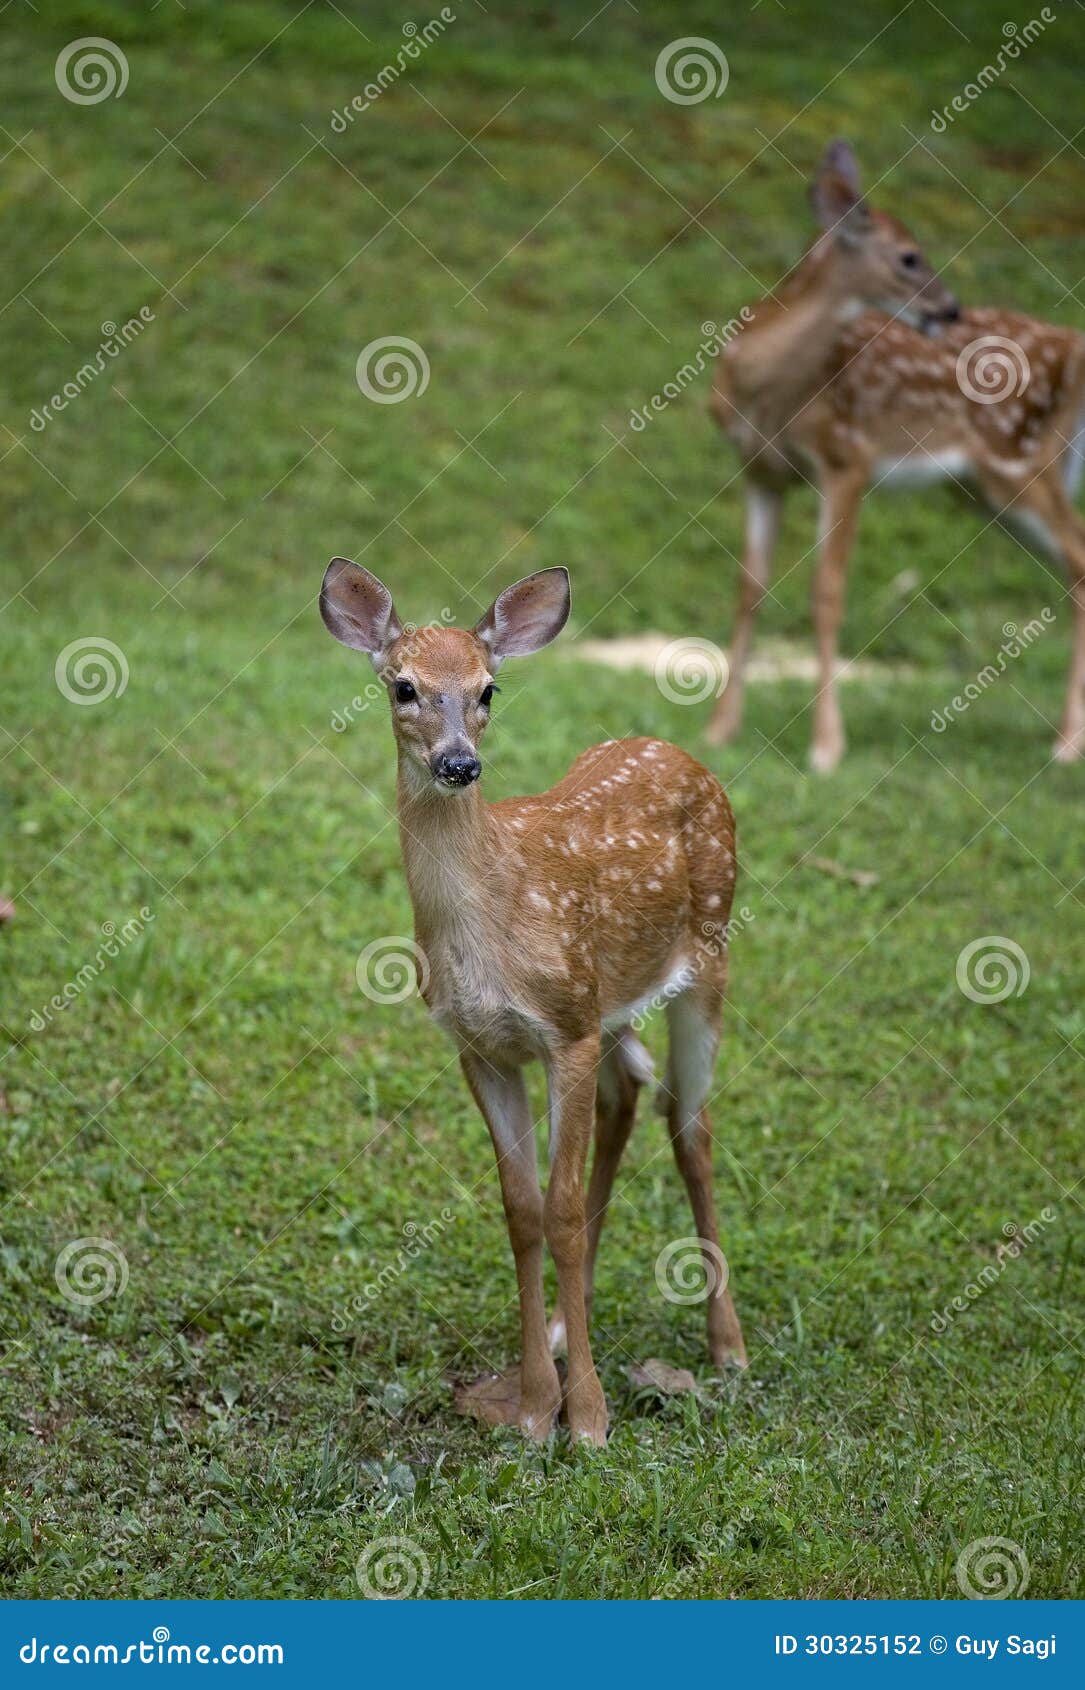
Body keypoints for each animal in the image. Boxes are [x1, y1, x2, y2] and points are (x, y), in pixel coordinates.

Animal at [319, 559, 747, 1445]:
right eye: (403, 686)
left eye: (488, 688)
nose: (458, 763)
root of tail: (676, 750)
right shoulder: (482, 1046)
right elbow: (522, 1210)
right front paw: (528, 1407)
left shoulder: (565, 1028)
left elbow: (561, 1212)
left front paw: (584, 1418)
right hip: (609, 1002)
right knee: (630, 1096)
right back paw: (558, 1326)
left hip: (708, 960)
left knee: (690, 1126)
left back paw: (727, 1347)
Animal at [707, 138, 1085, 771]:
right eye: (910, 256)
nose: (951, 309)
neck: (768, 390)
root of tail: (1075, 348)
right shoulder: (759, 470)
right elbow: (747, 589)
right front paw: (719, 730)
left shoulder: (846, 457)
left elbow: (826, 593)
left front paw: (826, 747)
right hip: (981, 488)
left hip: (1023, 459)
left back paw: (1067, 743)